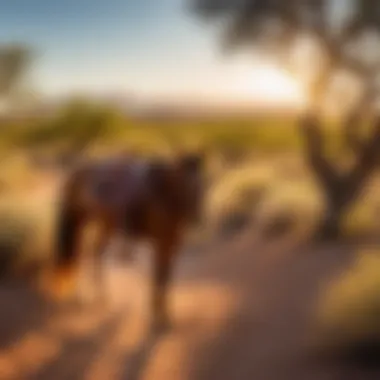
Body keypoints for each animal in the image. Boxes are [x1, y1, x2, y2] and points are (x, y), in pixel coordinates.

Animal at [44, 151, 205, 330]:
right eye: (184, 185)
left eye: (203, 186)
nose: (195, 219)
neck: (163, 194)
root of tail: (75, 174)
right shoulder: (160, 244)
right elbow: (158, 278)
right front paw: (157, 319)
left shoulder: (170, 245)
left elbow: (165, 279)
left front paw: (164, 317)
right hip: (80, 220)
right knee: (79, 252)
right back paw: (82, 297)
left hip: (105, 224)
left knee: (96, 250)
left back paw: (101, 296)